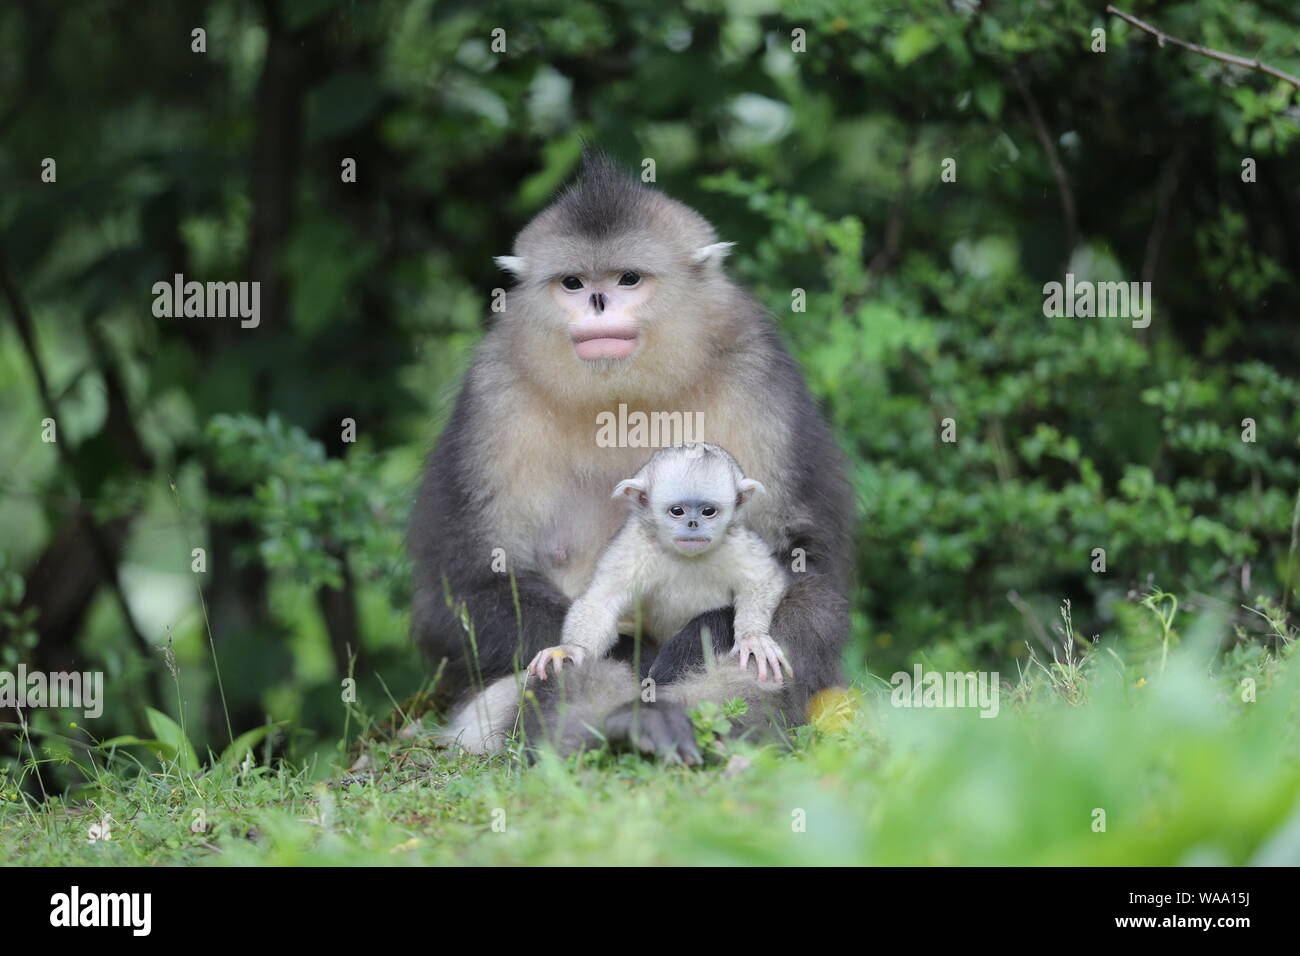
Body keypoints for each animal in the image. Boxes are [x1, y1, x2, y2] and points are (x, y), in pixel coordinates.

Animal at [527, 443, 793, 688]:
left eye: (708, 511)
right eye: (677, 511)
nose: (693, 524)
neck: (686, 556)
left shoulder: (735, 542)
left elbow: (765, 580)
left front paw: (753, 638)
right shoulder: (633, 544)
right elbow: (600, 602)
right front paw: (571, 649)